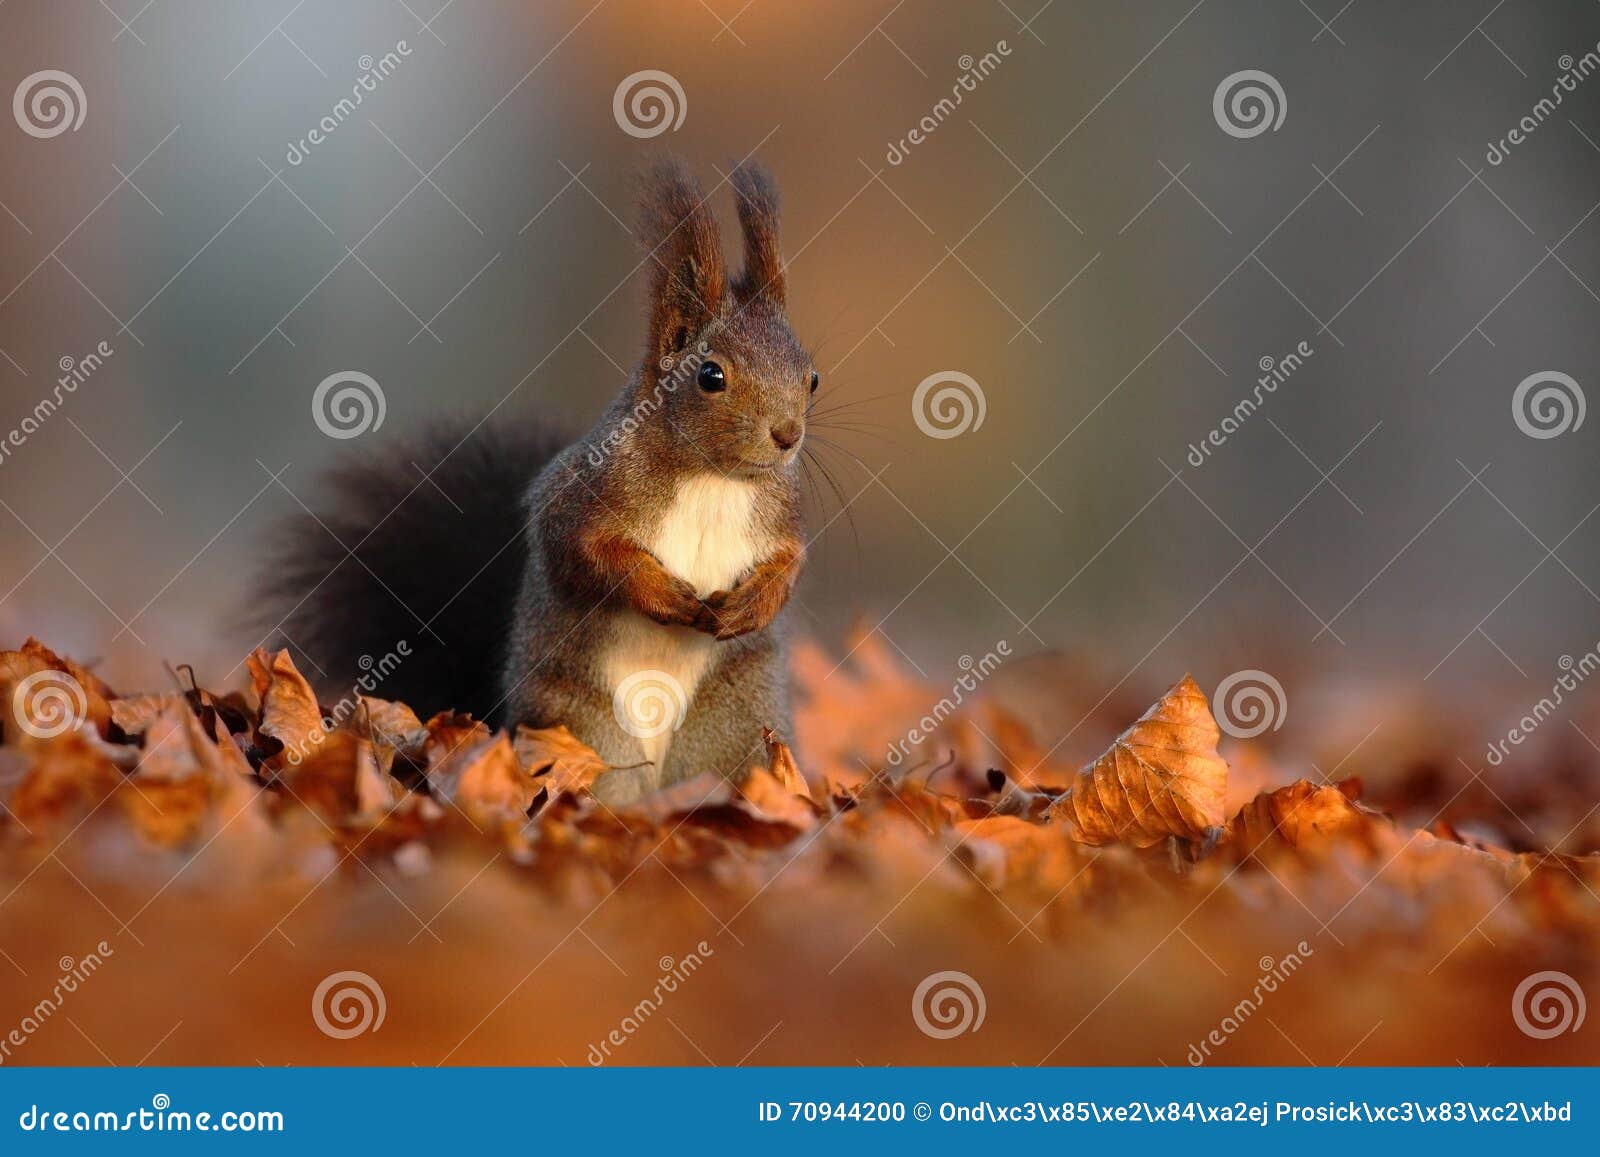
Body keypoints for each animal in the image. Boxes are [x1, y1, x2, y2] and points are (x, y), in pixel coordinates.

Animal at [261, 159, 816, 804]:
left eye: (812, 377)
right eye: (711, 375)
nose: (787, 435)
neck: (714, 477)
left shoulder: (781, 512)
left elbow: (790, 561)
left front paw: (752, 605)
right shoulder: (583, 489)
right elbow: (584, 550)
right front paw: (662, 593)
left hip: (736, 724)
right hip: (579, 722)